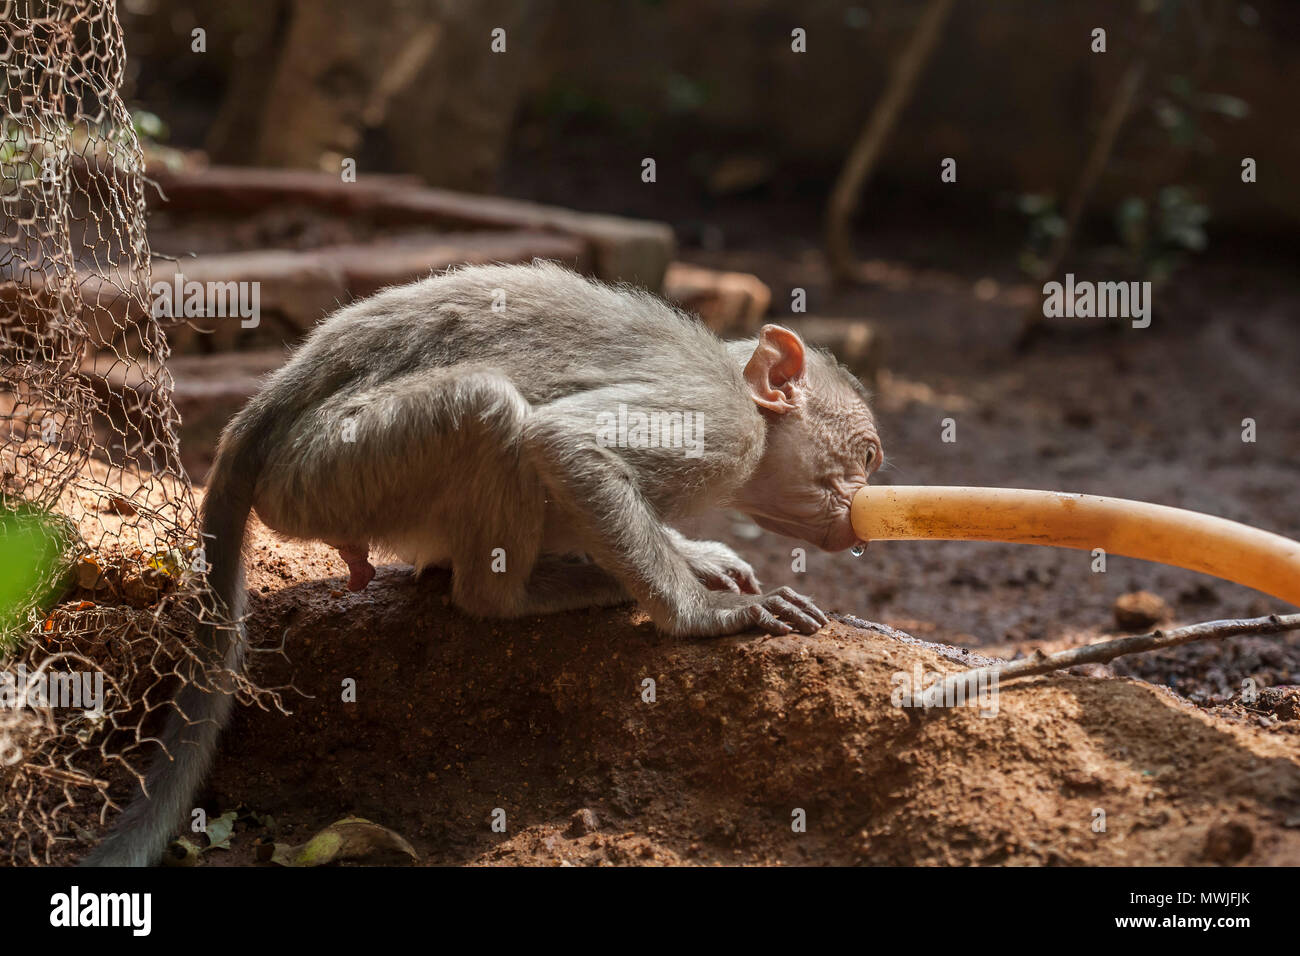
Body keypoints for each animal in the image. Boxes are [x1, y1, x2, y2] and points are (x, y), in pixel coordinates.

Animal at [82, 261, 883, 866]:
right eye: (869, 455)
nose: (860, 507)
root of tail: (266, 406)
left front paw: (702, 558)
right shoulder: (721, 425)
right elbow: (566, 444)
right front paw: (707, 614)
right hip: (332, 473)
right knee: (491, 407)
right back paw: (512, 593)